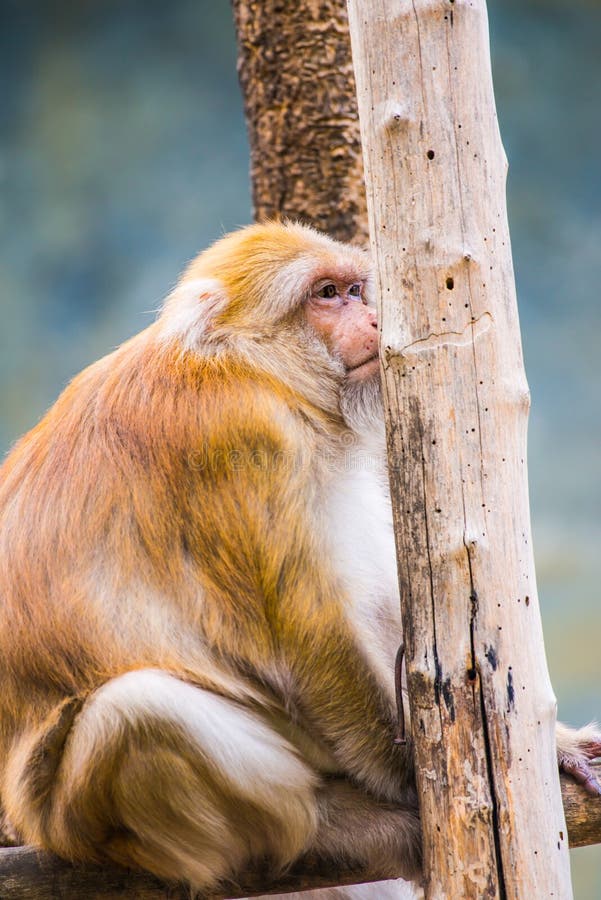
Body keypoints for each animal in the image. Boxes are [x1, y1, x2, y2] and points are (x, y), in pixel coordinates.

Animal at [0, 221, 599, 900]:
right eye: (327, 294)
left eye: (356, 289)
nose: (373, 318)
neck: (249, 367)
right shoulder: (245, 437)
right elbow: (308, 635)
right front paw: (418, 783)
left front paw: (551, 745)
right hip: (80, 820)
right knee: (138, 714)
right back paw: (333, 828)